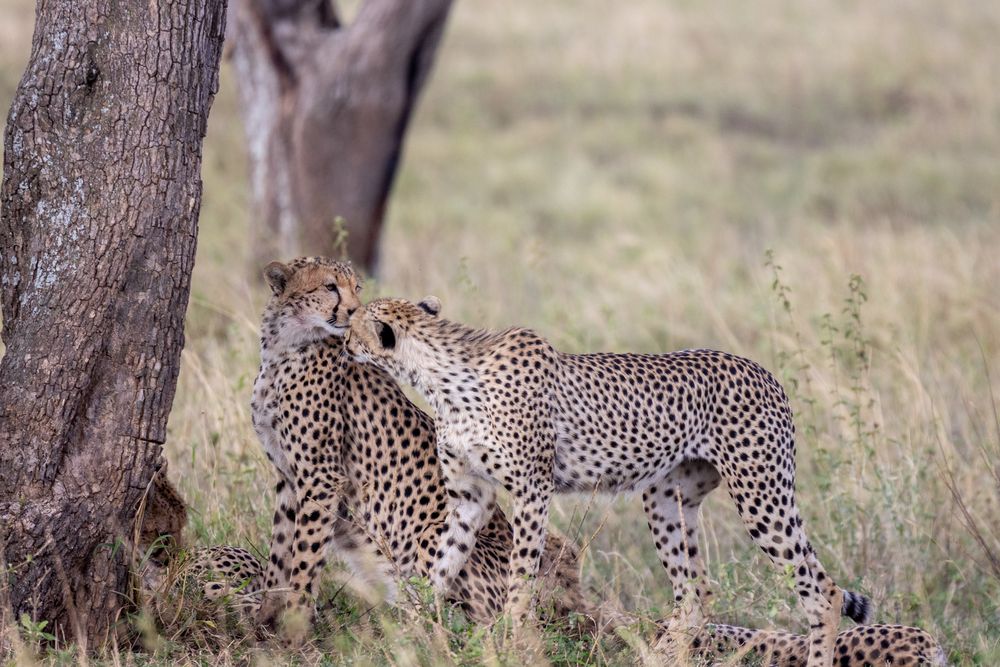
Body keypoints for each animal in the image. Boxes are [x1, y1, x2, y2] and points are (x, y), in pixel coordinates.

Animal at [249, 257, 604, 643]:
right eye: (330, 286)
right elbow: (280, 552)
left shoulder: (321, 477)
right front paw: (265, 617)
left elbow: (305, 555)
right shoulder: (289, 477)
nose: (355, 311)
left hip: (436, 538)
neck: (284, 346)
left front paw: (293, 630)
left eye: (356, 287)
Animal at [345, 295, 873, 666]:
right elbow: (440, 565)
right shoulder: (469, 498)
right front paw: (416, 630)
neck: (444, 379)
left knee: (822, 594)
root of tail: (764, 370)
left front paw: (510, 640)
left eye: (353, 322)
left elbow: (519, 580)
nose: (343, 338)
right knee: (695, 595)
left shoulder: (532, 491)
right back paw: (657, 659)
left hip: (760, 491)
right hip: (666, 497)